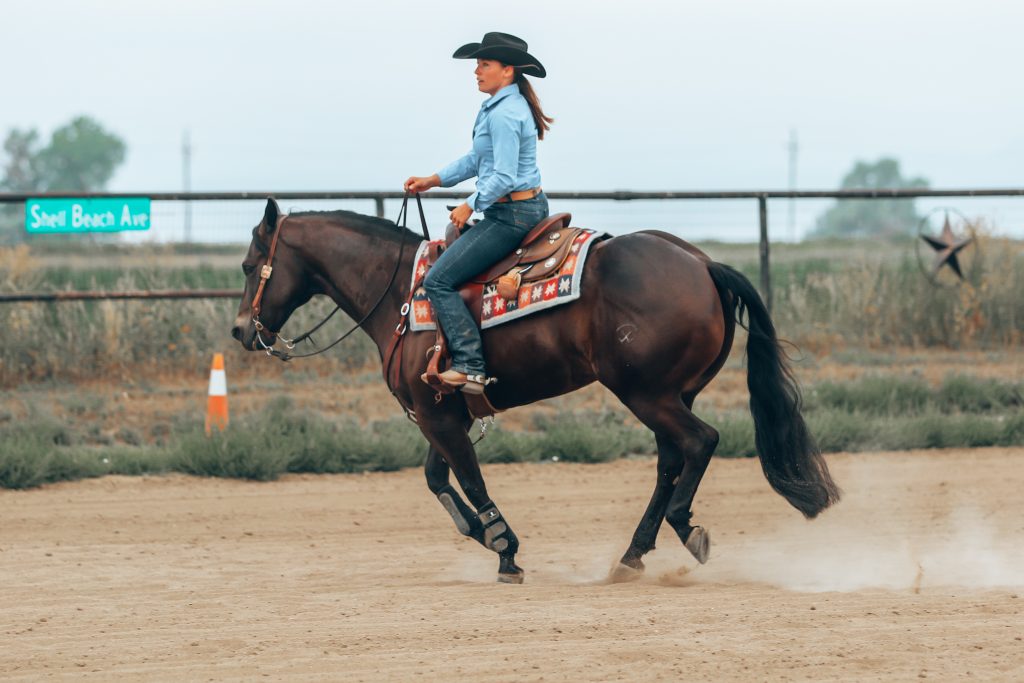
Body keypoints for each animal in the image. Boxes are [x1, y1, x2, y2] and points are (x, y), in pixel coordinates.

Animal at [231, 197, 840, 584]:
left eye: (248, 264)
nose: (241, 331)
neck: (402, 294)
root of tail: (703, 262)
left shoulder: (437, 417)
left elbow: (469, 478)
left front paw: (504, 548)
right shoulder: (441, 412)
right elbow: (437, 479)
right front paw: (483, 535)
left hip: (645, 393)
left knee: (699, 443)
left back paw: (684, 529)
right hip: (671, 394)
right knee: (672, 458)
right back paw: (632, 555)